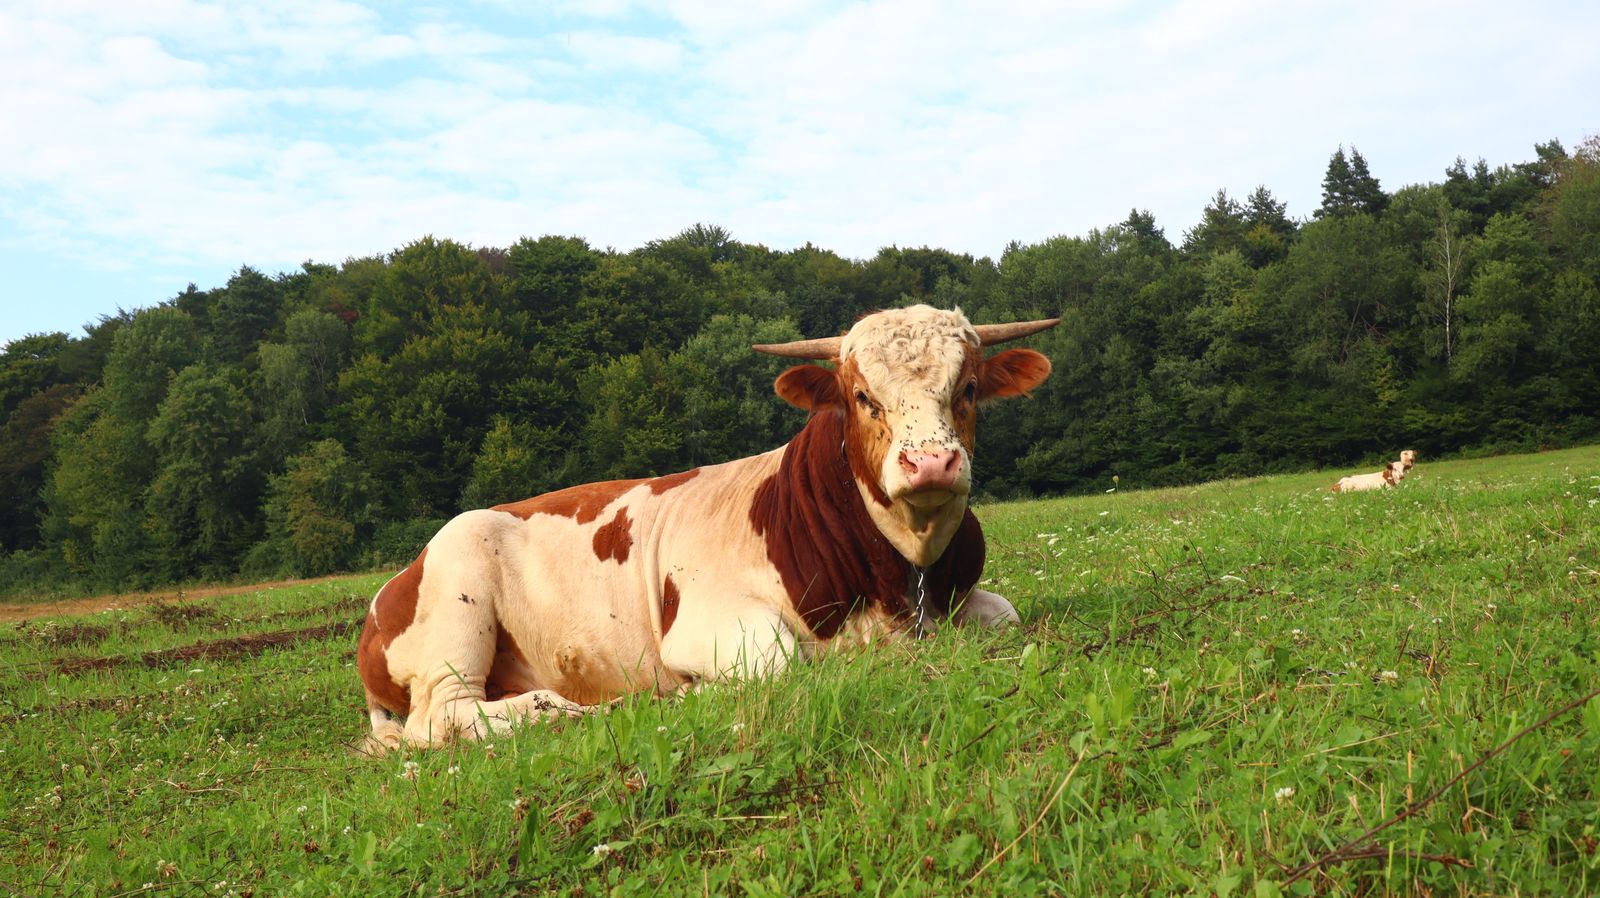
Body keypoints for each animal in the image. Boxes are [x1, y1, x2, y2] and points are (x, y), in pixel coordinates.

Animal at [356, 305, 1056, 750]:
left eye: (968, 389)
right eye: (863, 397)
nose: (931, 462)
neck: (896, 579)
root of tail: (387, 589)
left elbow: (1007, 614)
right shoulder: (707, 624)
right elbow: (777, 664)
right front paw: (690, 696)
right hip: (456, 599)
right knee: (444, 718)